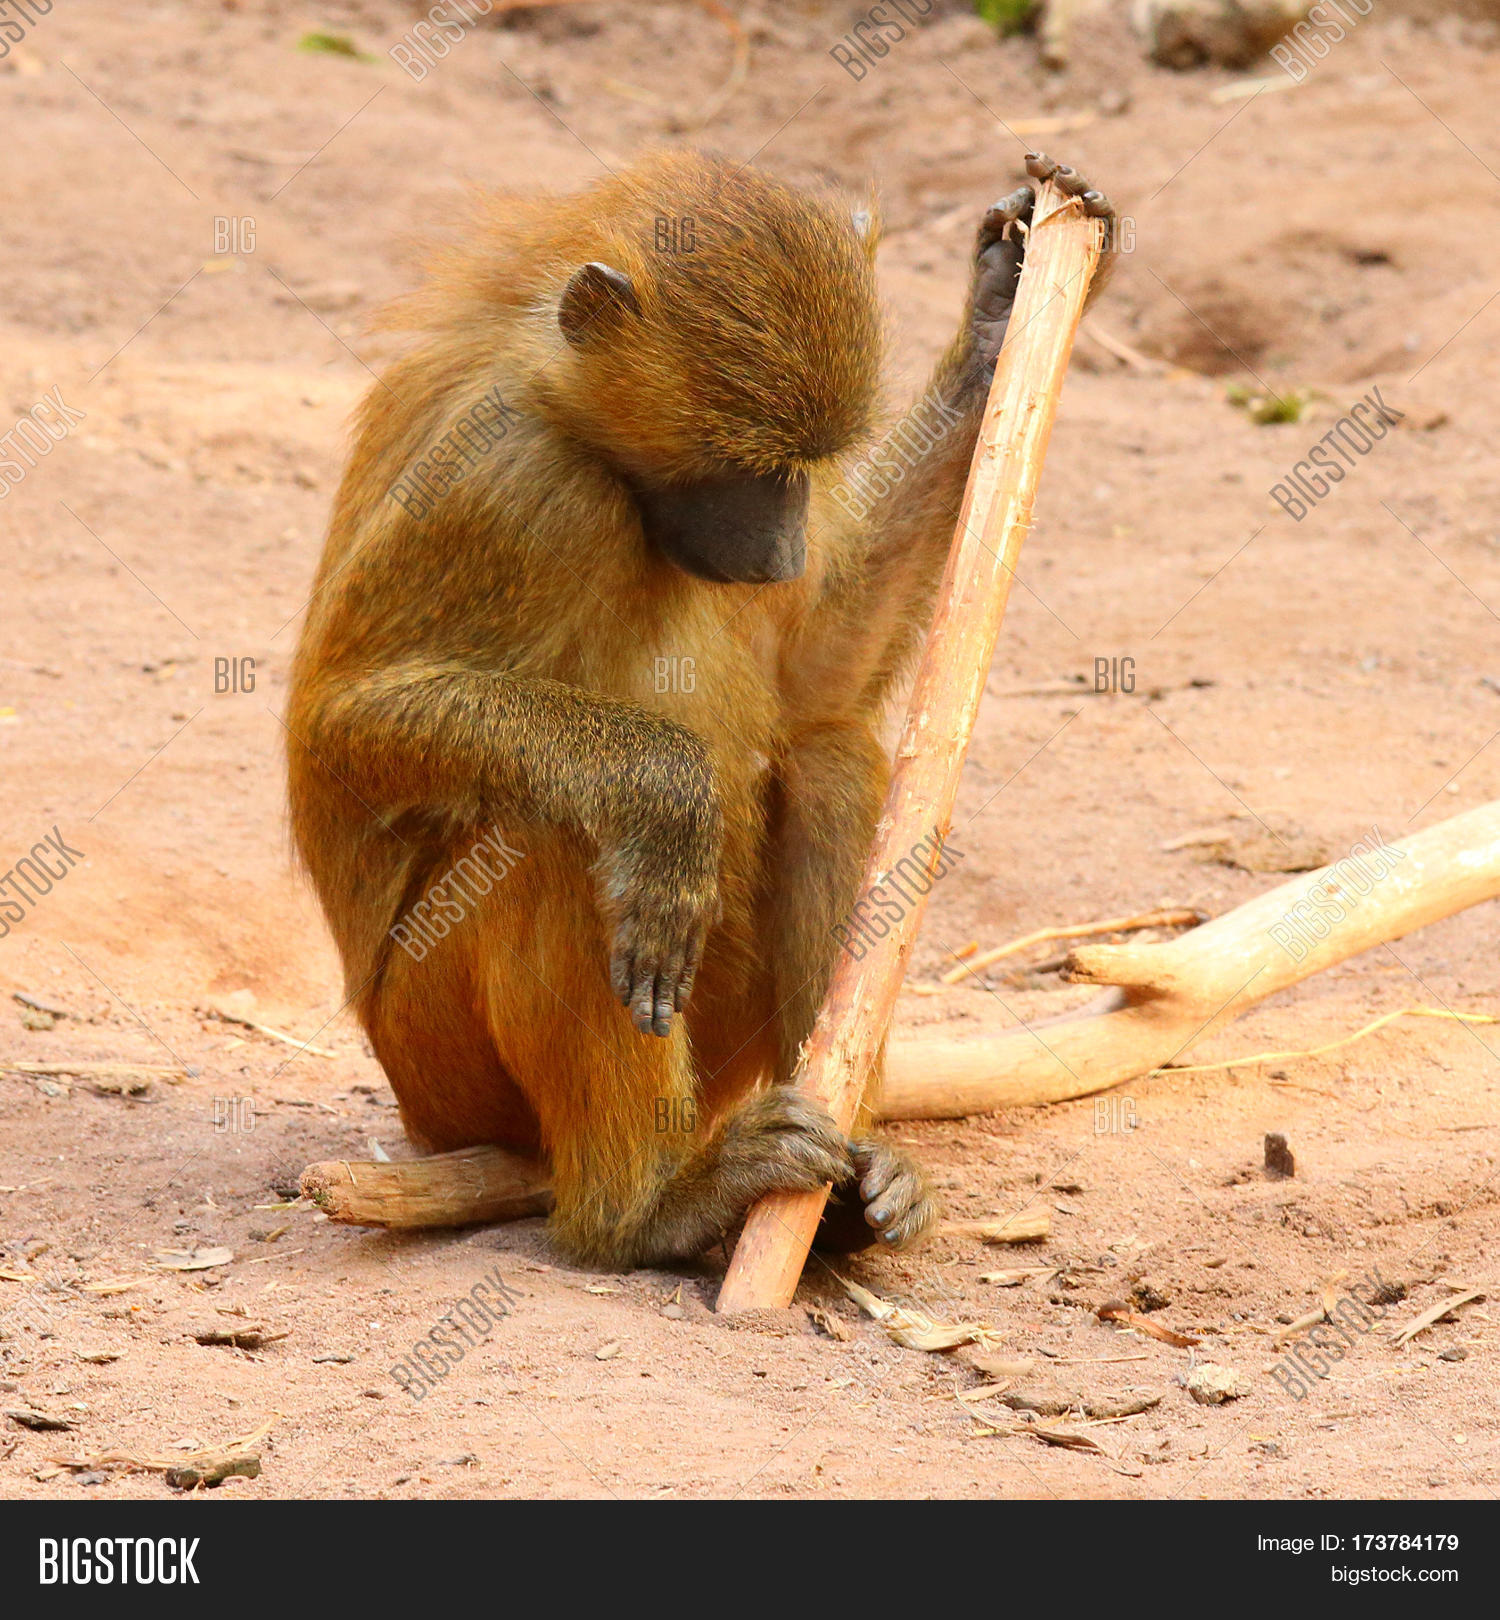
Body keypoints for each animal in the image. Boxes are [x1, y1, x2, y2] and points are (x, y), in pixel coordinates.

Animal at [285, 148, 1115, 1270]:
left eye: (802, 472)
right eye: (746, 469)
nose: (780, 552)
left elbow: (816, 686)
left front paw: (1002, 311)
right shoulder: (512, 475)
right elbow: (333, 722)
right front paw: (664, 790)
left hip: (720, 1049)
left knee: (827, 755)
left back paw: (846, 1181)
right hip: (437, 1070)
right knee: (555, 837)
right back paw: (651, 1207)